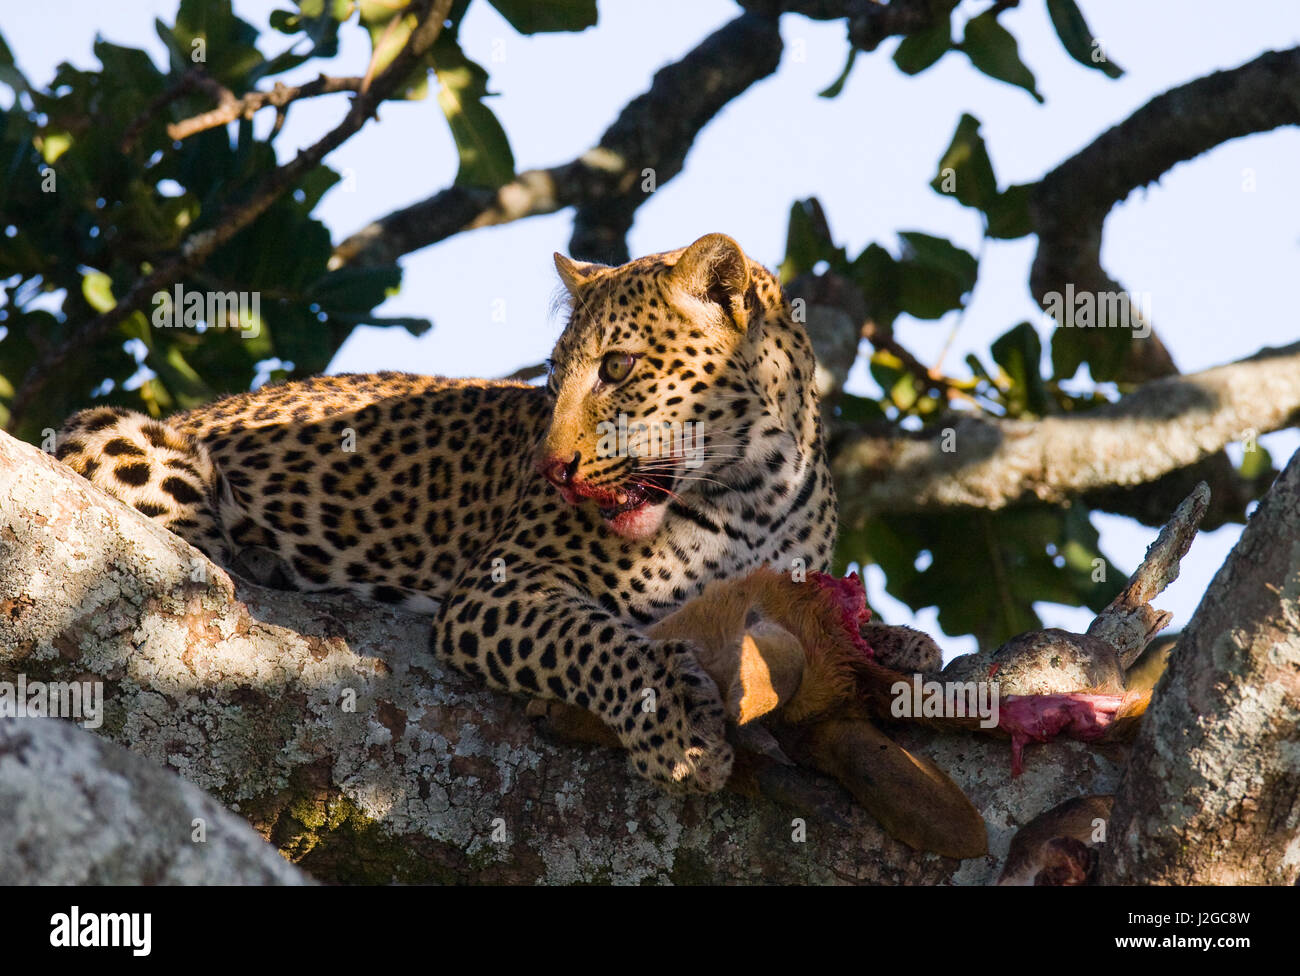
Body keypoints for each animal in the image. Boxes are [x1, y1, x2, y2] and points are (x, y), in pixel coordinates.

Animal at [55, 233, 839, 793]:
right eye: (552, 378)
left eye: (617, 368)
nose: (552, 469)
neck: (752, 487)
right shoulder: (500, 587)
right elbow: (600, 642)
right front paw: (680, 729)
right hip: (103, 429)